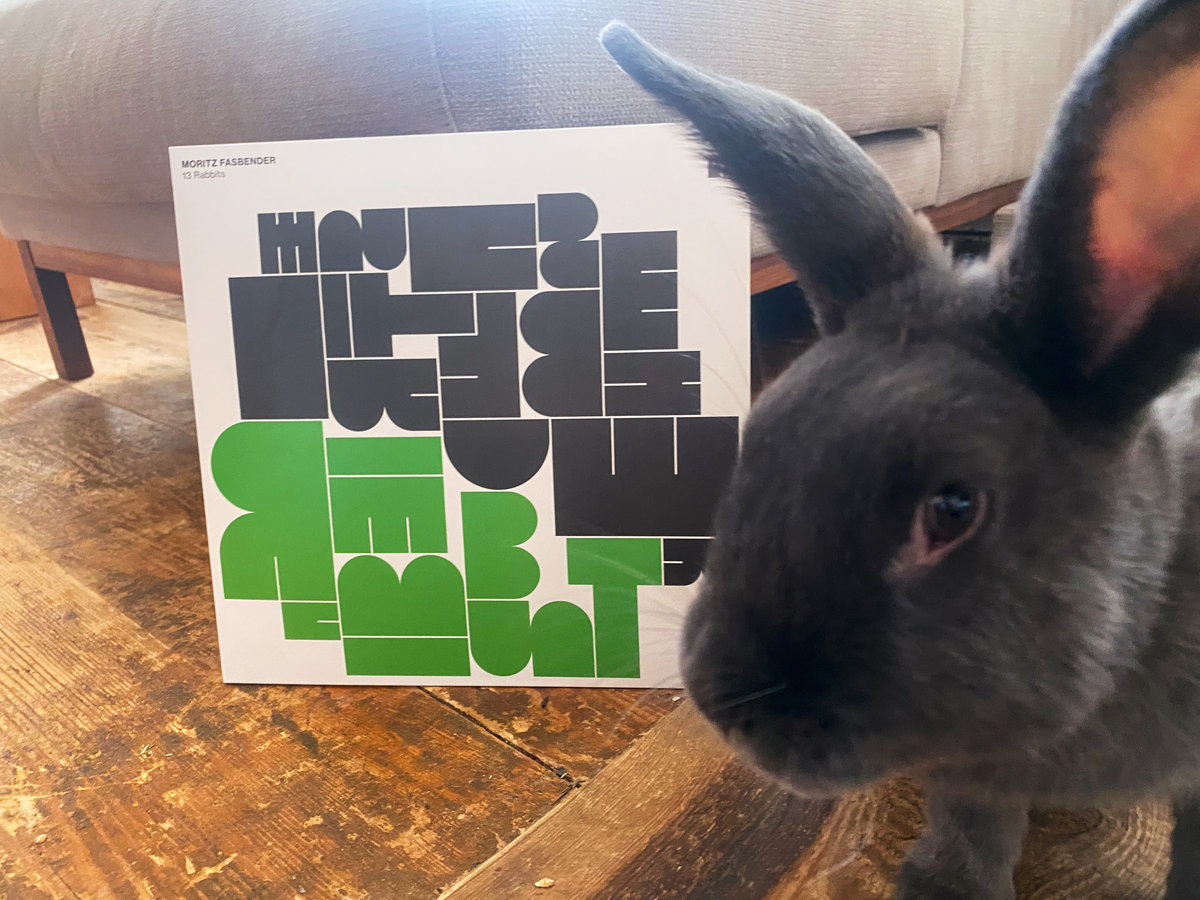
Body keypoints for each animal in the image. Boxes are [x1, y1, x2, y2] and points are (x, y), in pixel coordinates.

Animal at [600, 1, 1200, 898]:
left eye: (953, 509)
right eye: (756, 447)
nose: (726, 706)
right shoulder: (971, 775)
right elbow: (973, 819)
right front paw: (943, 886)